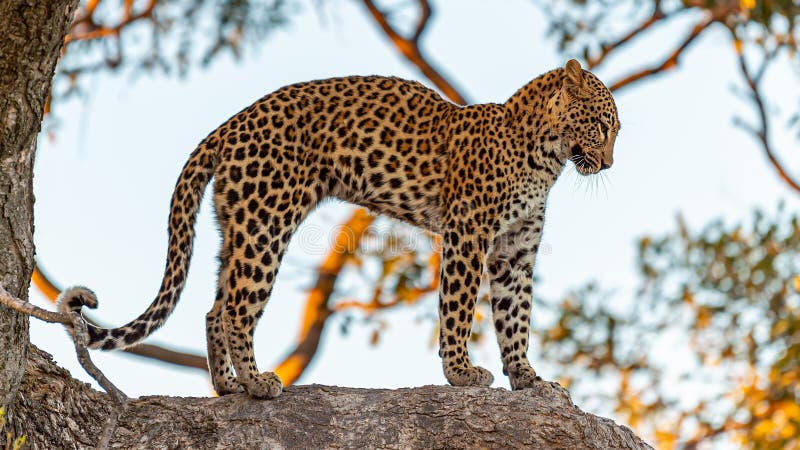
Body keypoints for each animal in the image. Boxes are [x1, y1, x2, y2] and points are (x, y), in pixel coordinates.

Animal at [58, 59, 619, 398]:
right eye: (603, 126)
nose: (610, 164)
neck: (545, 157)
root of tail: (228, 125)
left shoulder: (514, 249)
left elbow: (515, 316)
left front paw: (530, 379)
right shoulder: (469, 234)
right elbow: (459, 308)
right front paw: (461, 372)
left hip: (237, 226)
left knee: (216, 307)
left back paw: (229, 387)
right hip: (267, 223)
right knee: (238, 308)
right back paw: (258, 383)